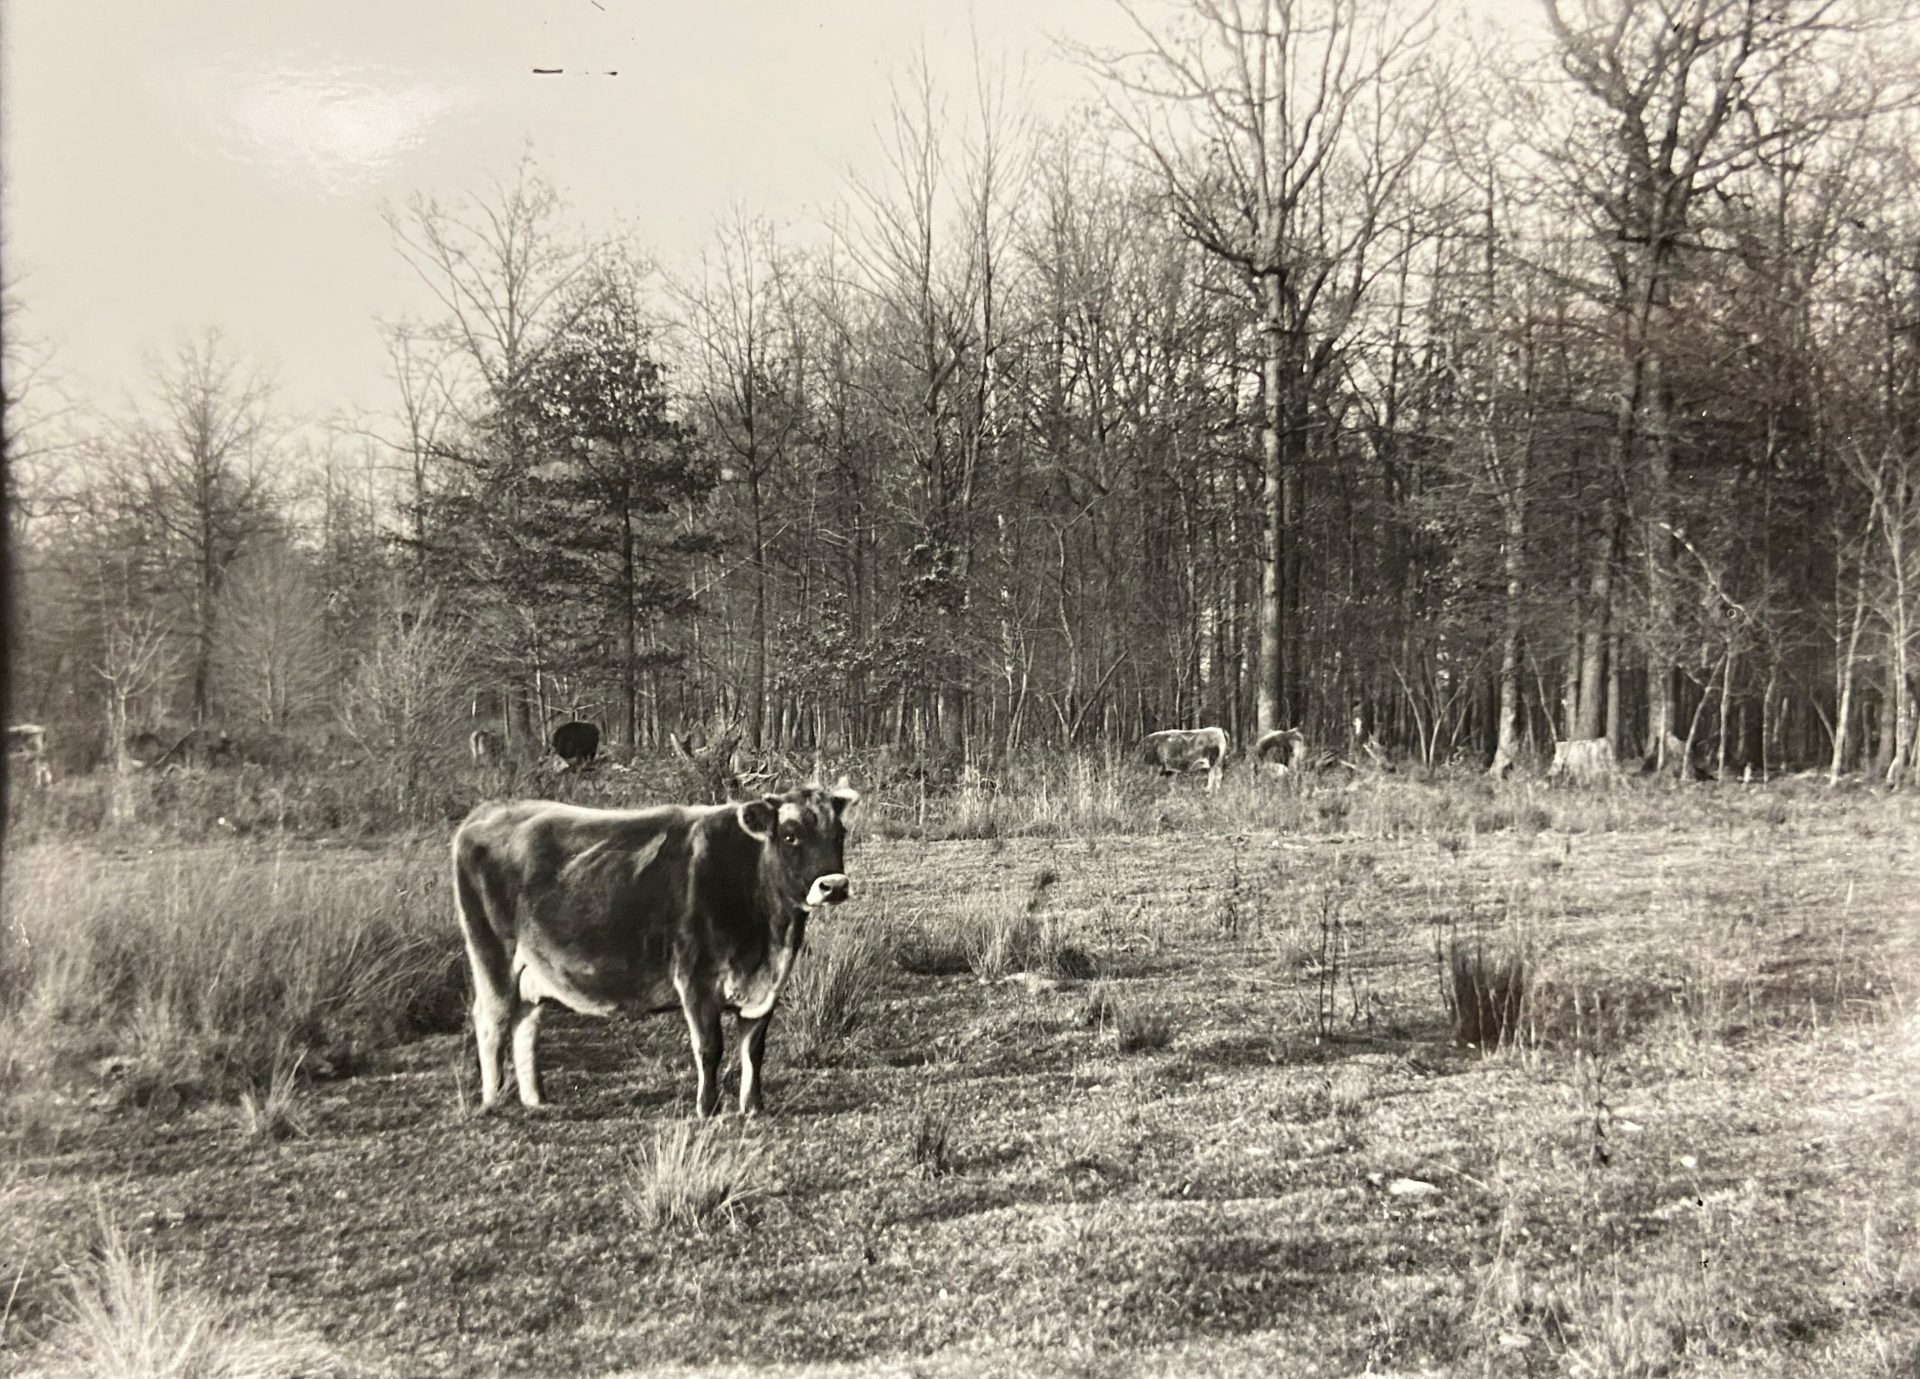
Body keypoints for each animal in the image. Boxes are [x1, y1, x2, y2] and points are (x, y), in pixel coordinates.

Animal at [452, 777, 860, 1116]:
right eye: (790, 835)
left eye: (840, 833)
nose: (834, 885)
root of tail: (490, 811)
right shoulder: (696, 979)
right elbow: (710, 1047)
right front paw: (708, 1108)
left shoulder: (767, 987)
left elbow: (754, 1051)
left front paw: (753, 1106)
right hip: (493, 957)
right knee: (491, 1020)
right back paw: (493, 1103)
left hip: (533, 969)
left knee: (525, 1025)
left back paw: (535, 1100)